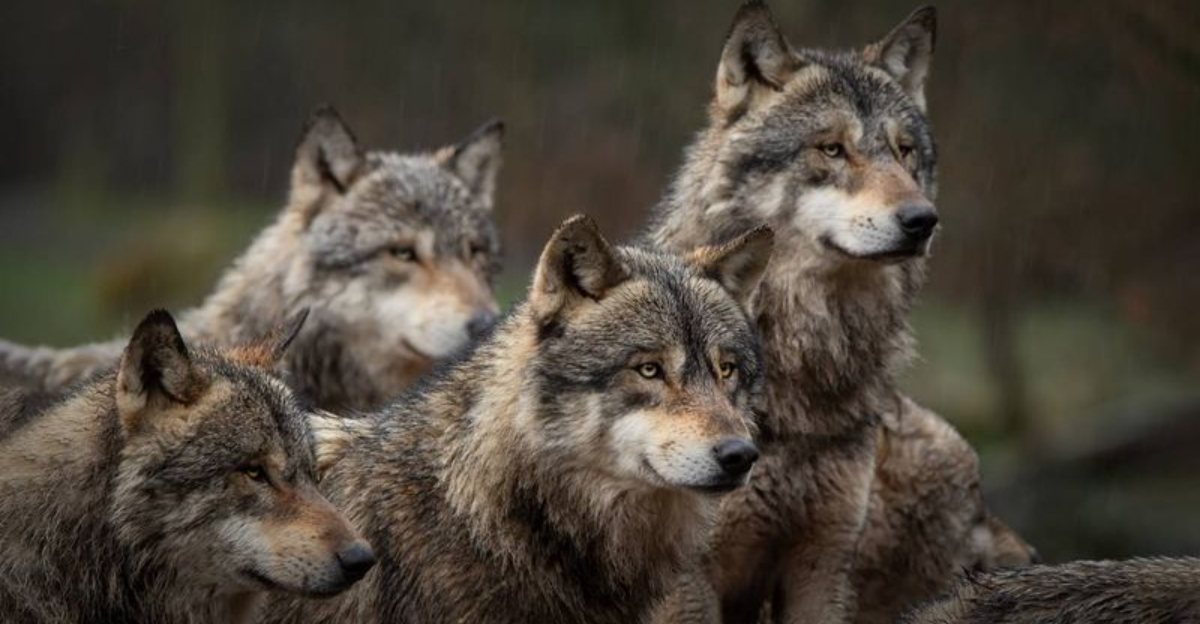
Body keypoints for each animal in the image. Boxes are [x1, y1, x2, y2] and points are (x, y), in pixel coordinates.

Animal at [647, 3, 1035, 623]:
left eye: (904, 152)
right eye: (831, 149)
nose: (923, 220)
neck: (808, 363)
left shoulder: (821, 563)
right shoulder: (690, 578)